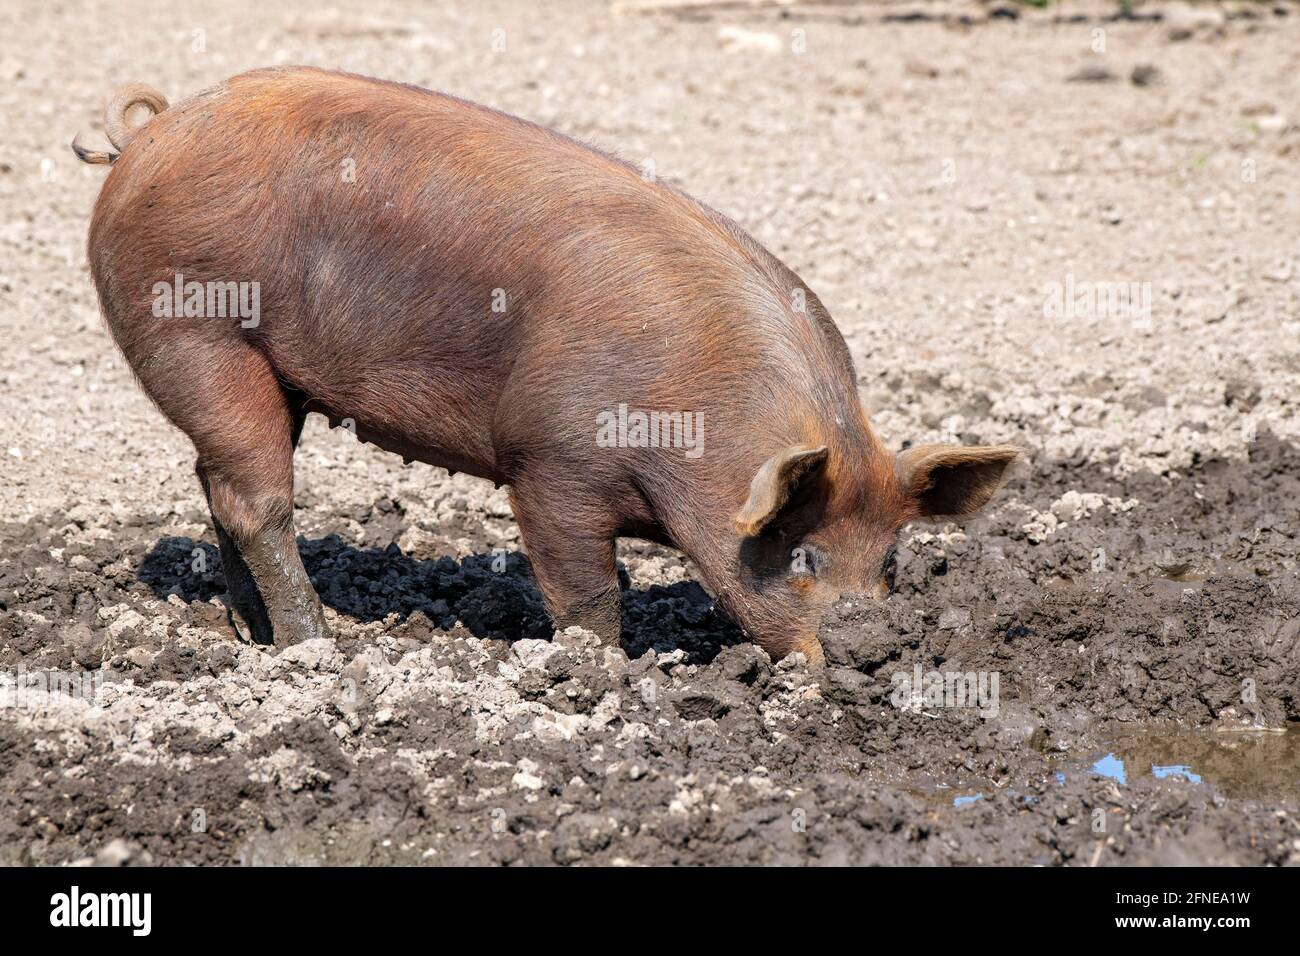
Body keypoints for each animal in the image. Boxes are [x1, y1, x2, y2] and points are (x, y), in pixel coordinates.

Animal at [74, 67, 1019, 664]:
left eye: (892, 563)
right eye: (805, 558)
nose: (875, 654)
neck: (696, 429)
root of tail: (151, 132)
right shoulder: (552, 461)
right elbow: (587, 592)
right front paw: (605, 673)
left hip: (274, 373)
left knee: (216, 486)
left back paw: (252, 636)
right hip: (197, 336)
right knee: (255, 498)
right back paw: (316, 650)